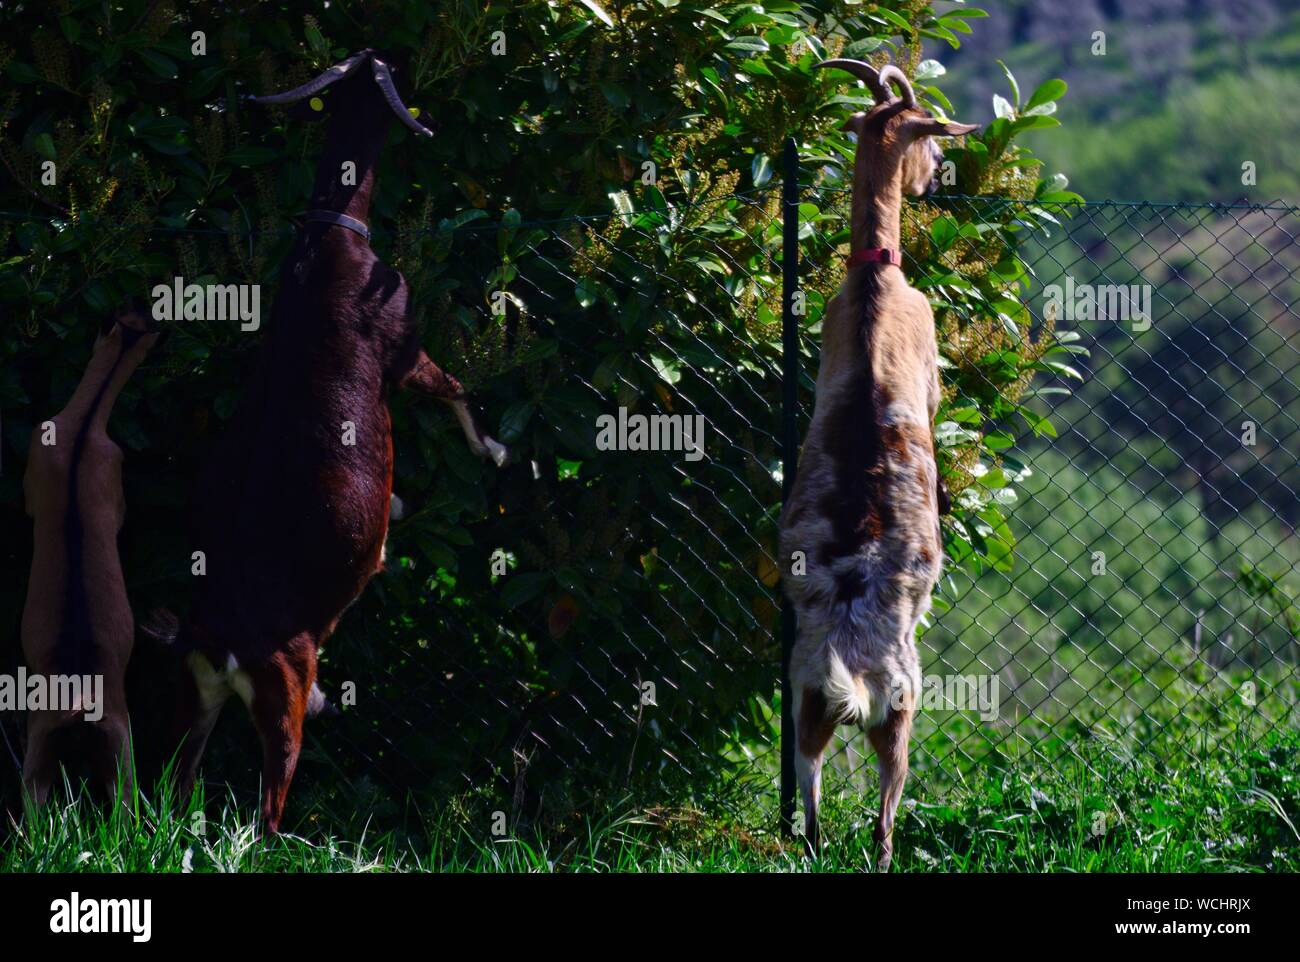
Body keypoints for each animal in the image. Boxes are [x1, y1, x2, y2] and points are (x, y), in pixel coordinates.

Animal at [168, 50, 505, 833]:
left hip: (201, 698)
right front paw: (493, 452)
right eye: (395, 80)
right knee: (267, 804)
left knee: (177, 776)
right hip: (284, 687)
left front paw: (405, 505)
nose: (428, 110)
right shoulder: (401, 349)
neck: (331, 235)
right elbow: (454, 387)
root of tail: (218, 638)